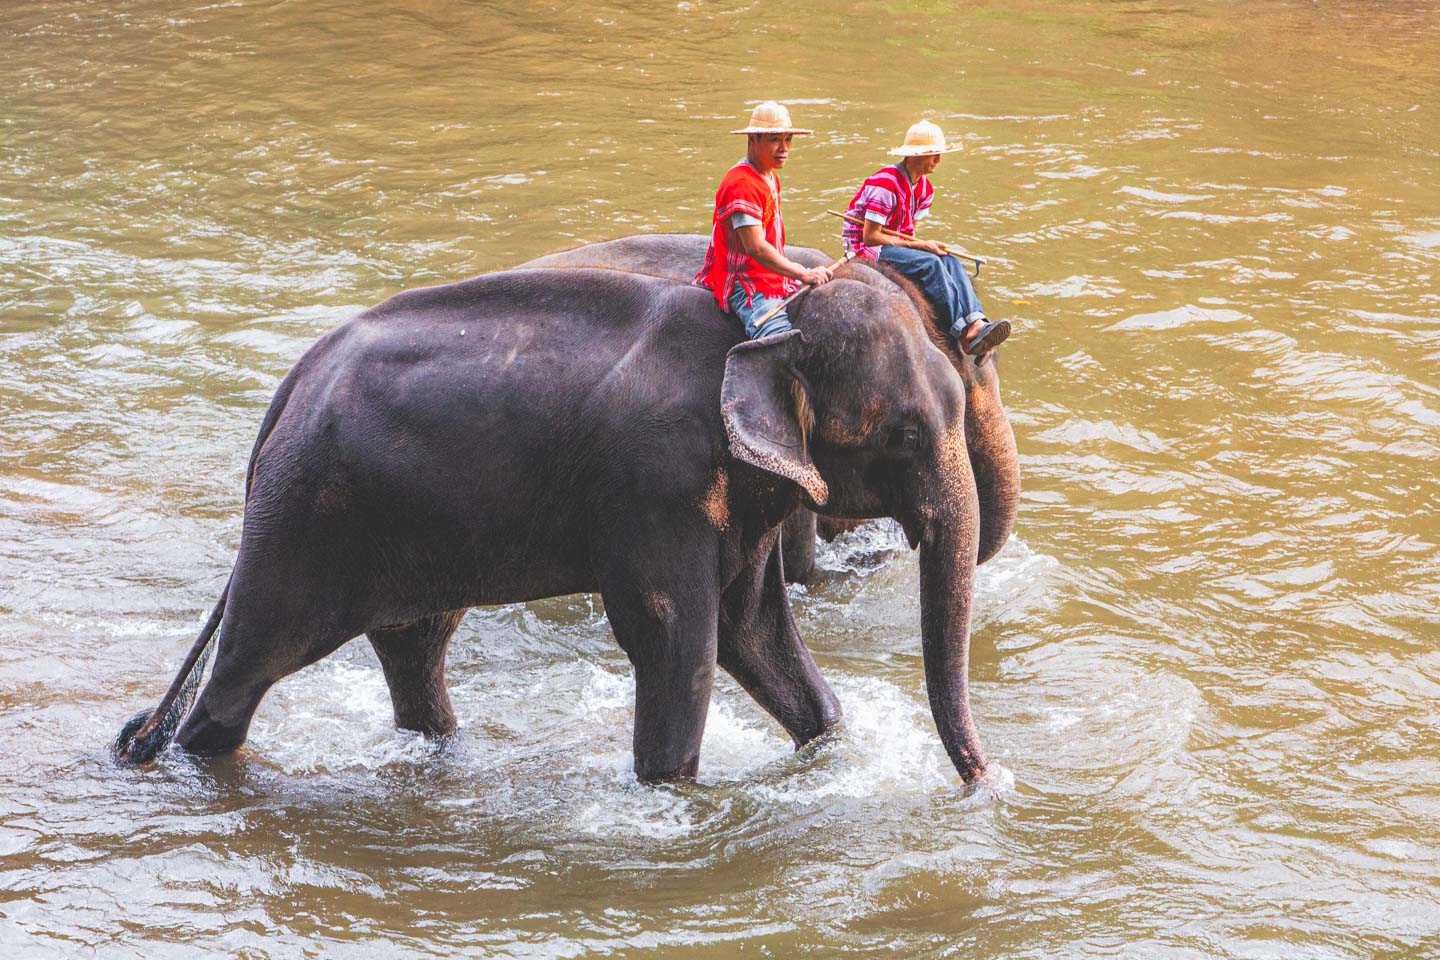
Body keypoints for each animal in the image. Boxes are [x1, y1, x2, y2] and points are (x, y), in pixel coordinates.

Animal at [113, 234, 1018, 786]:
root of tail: (285, 396)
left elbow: (754, 633)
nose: (984, 782)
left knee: (414, 648)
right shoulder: (657, 484)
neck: (769, 322)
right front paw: (669, 790)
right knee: (248, 669)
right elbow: (680, 643)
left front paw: (825, 744)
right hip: (303, 520)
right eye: (904, 433)